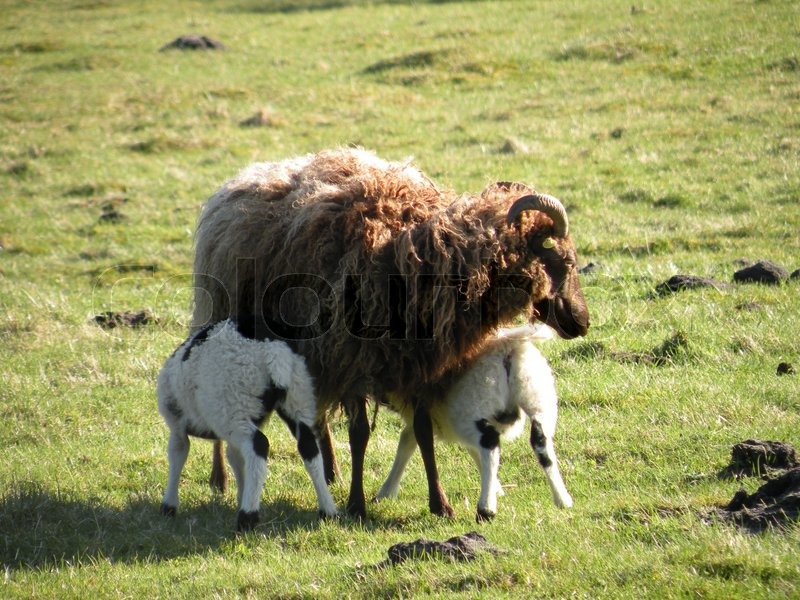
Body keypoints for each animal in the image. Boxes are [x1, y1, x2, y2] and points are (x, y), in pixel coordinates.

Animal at [157, 316, 339, 531]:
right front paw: (241, 494)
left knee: (259, 446)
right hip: (298, 397)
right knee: (309, 449)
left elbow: (178, 455)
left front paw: (169, 506)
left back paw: (247, 517)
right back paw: (328, 510)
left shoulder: (176, 423)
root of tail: (273, 350)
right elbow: (235, 459)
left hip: (235, 404)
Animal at [375, 325, 573, 522]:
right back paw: (562, 499)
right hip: (538, 398)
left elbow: (409, 442)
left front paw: (384, 493)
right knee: (541, 445)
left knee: (490, 448)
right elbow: (408, 442)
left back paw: (485, 509)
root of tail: (506, 347)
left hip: (476, 406)